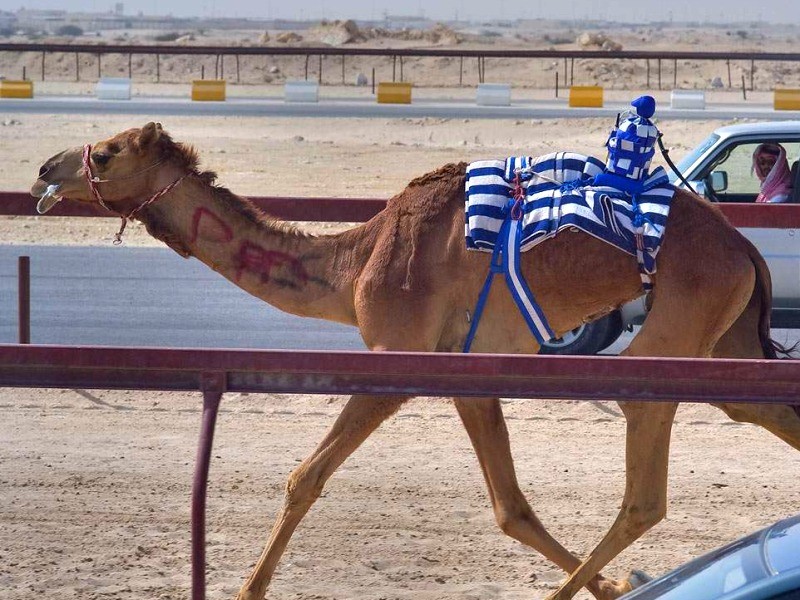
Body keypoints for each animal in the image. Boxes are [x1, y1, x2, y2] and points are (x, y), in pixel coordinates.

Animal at [31, 123, 800, 600]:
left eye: (108, 153)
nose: (44, 168)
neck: (352, 266)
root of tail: (745, 247)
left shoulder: (396, 359)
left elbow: (305, 478)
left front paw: (247, 588)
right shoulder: (468, 374)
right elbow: (509, 508)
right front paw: (616, 584)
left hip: (677, 323)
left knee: (645, 490)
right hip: (723, 339)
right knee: (762, 408)